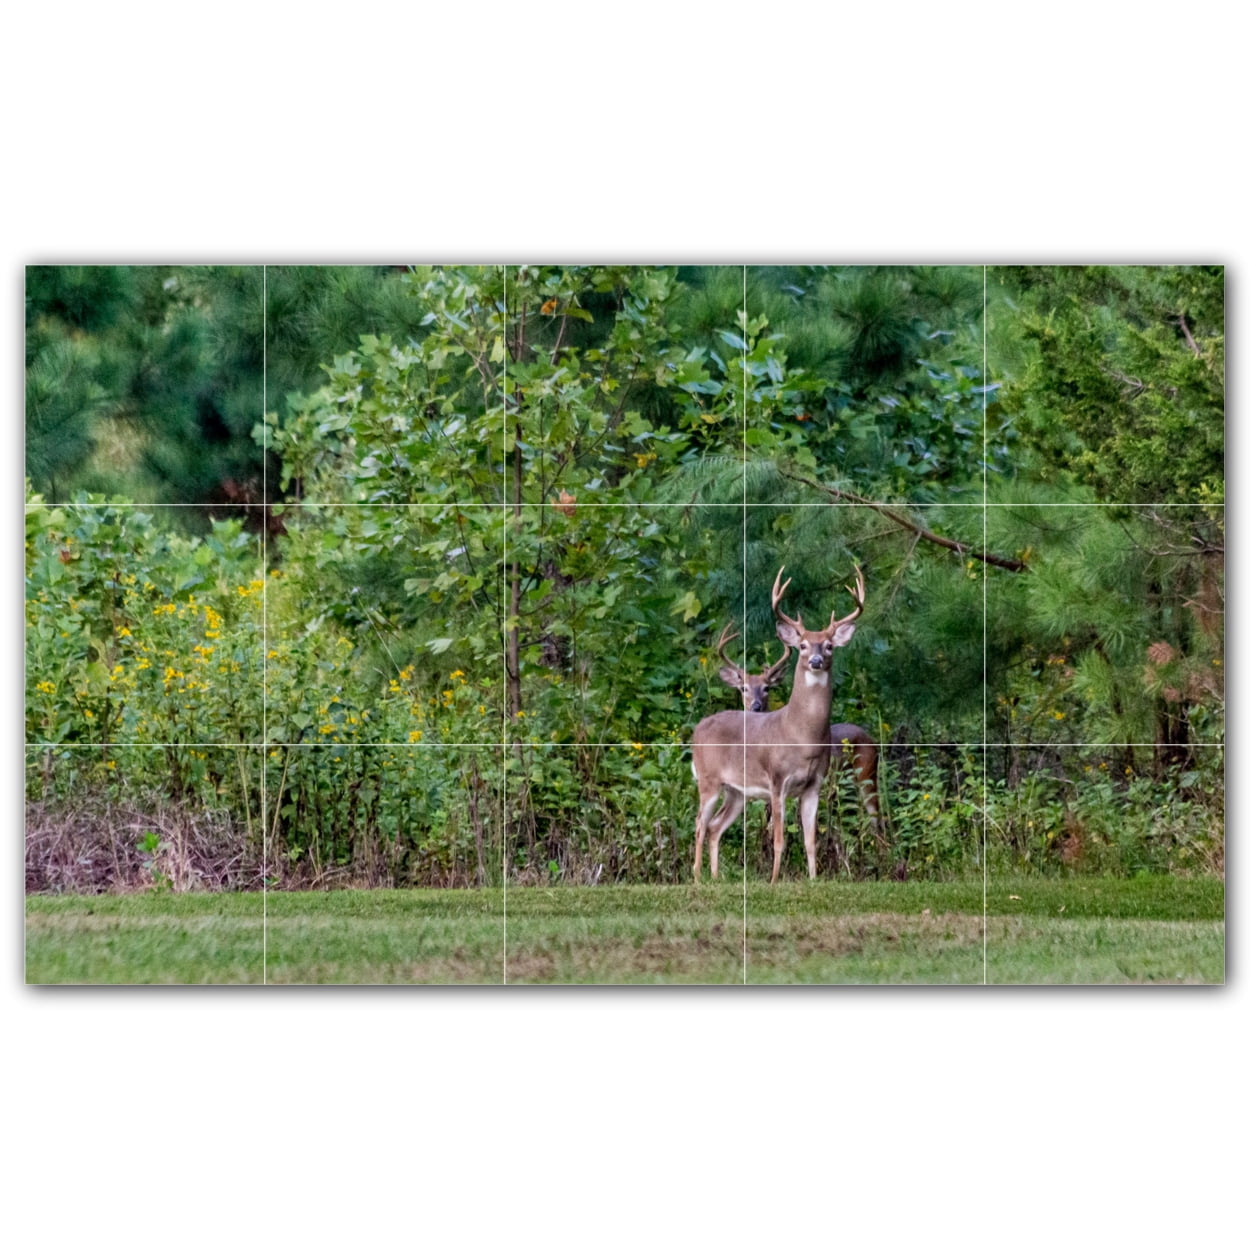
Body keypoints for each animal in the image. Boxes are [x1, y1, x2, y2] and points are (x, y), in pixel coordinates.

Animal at [692, 565, 865, 883]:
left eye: (829, 645)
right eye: (803, 645)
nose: (817, 660)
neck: (802, 736)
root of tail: (698, 728)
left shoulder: (814, 784)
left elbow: (810, 840)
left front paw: (813, 880)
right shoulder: (777, 780)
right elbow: (779, 839)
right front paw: (773, 881)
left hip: (737, 791)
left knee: (715, 826)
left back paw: (716, 877)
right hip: (708, 780)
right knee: (699, 823)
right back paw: (697, 878)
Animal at [712, 623, 883, 871]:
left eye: (766, 688)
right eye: (743, 688)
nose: (755, 706)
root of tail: (871, 738)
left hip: (867, 776)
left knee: (876, 819)